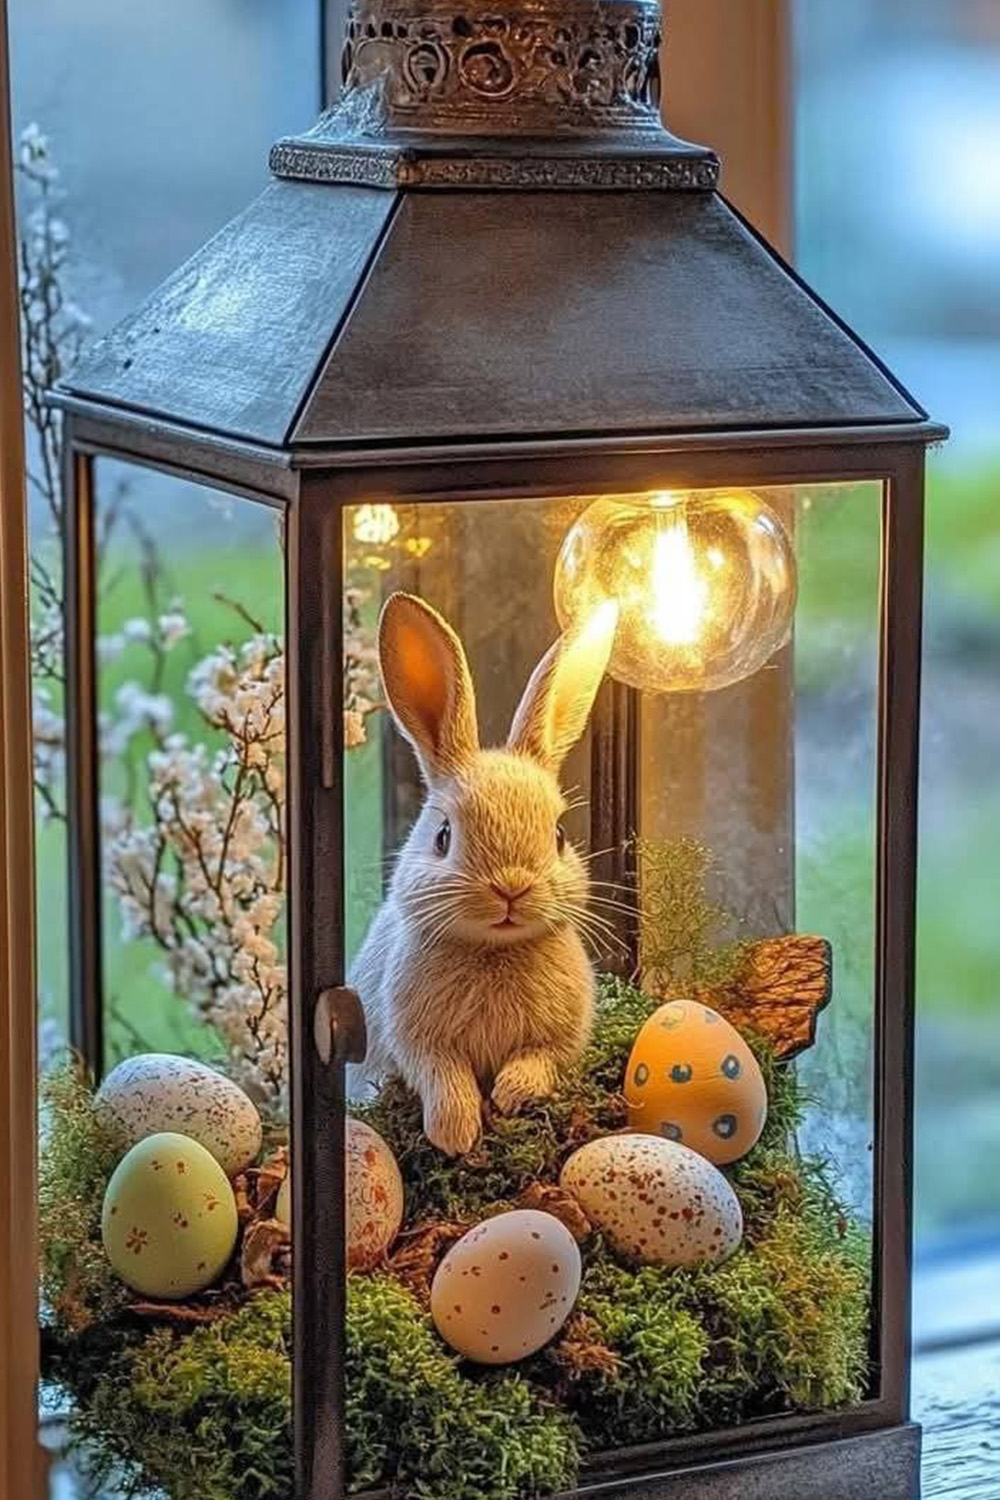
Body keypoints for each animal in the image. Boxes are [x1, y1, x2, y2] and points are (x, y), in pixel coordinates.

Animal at [349, 590, 618, 1156]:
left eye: (559, 835)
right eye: (443, 836)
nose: (511, 887)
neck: (495, 951)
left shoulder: (558, 1040)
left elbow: (538, 1061)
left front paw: (511, 1097)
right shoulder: (416, 1040)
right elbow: (442, 1077)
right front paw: (455, 1135)